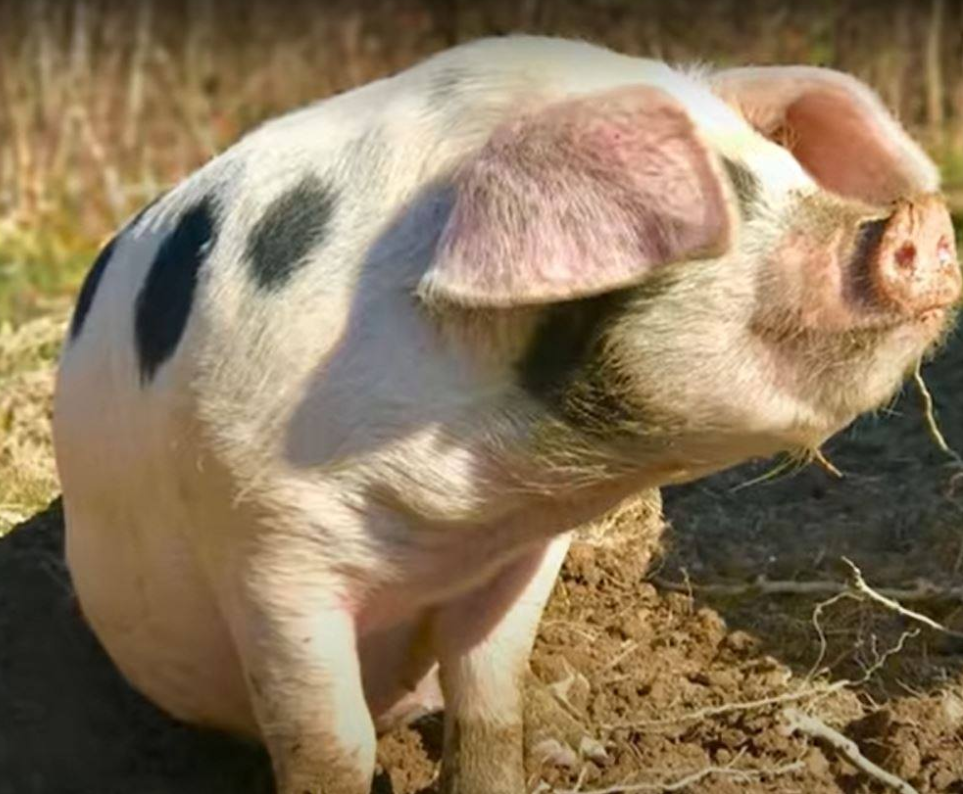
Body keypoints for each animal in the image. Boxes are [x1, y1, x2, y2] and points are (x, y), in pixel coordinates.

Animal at [53, 35, 959, 794]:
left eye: (788, 171)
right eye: (724, 194)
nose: (922, 218)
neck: (463, 506)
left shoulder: (522, 553)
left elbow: (490, 697)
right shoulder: (267, 543)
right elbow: (330, 744)